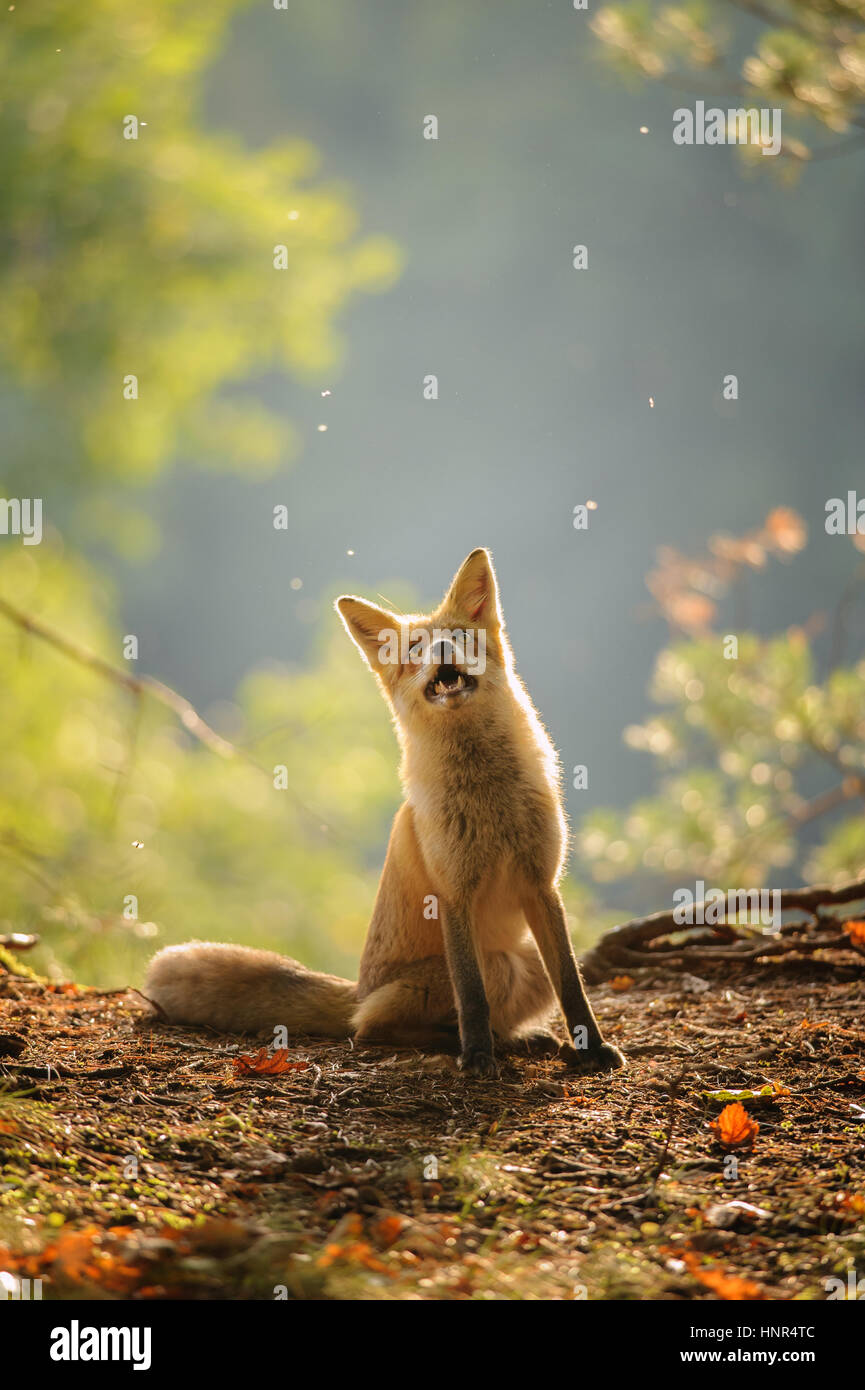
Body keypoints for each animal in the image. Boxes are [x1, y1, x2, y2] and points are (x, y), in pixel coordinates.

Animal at [145, 548, 625, 1078]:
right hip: (488, 965)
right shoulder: (452, 894)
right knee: (371, 1027)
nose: (442, 650)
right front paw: (478, 1057)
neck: (488, 796)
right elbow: (472, 998)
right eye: (414, 647)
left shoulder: (541, 884)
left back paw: (519, 1039)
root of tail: (358, 988)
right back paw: (462, 1043)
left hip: (526, 959)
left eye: (459, 636)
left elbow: (573, 988)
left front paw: (590, 1048)